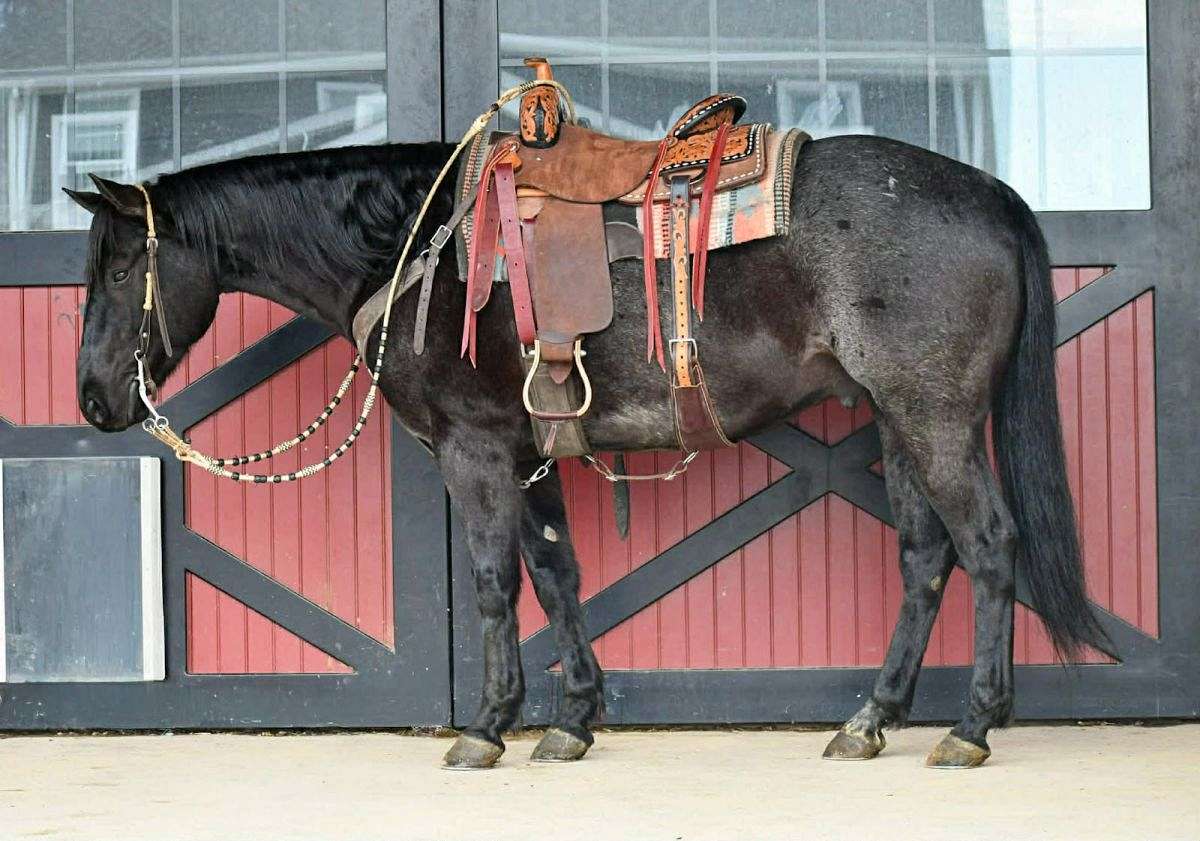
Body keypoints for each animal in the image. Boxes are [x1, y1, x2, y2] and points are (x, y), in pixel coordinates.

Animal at [66, 131, 1108, 769]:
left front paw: (488, 728)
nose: (91, 398)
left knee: (989, 547)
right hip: (897, 420)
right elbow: (555, 573)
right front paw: (572, 720)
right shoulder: (527, 453)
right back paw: (870, 719)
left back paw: (971, 725)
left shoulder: (475, 452)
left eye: (119, 268)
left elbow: (497, 584)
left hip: (935, 419)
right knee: (927, 558)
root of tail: (989, 192)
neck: (413, 247)